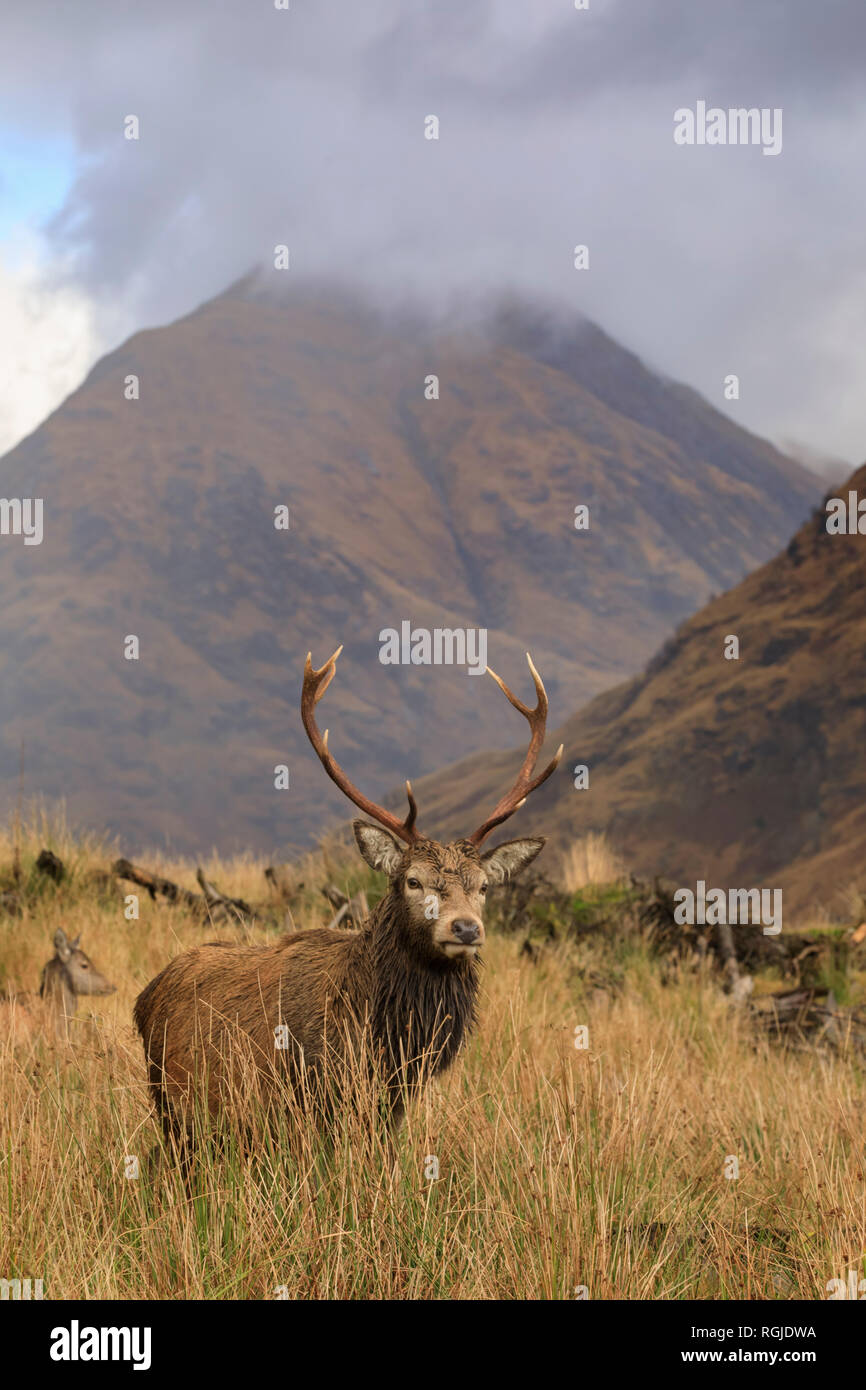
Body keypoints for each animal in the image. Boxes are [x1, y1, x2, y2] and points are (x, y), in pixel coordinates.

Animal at [134, 648, 562, 1147]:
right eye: (412, 881)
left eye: (484, 886)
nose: (465, 928)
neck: (385, 1036)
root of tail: (144, 996)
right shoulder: (310, 1098)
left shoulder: (390, 1104)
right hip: (176, 1107)